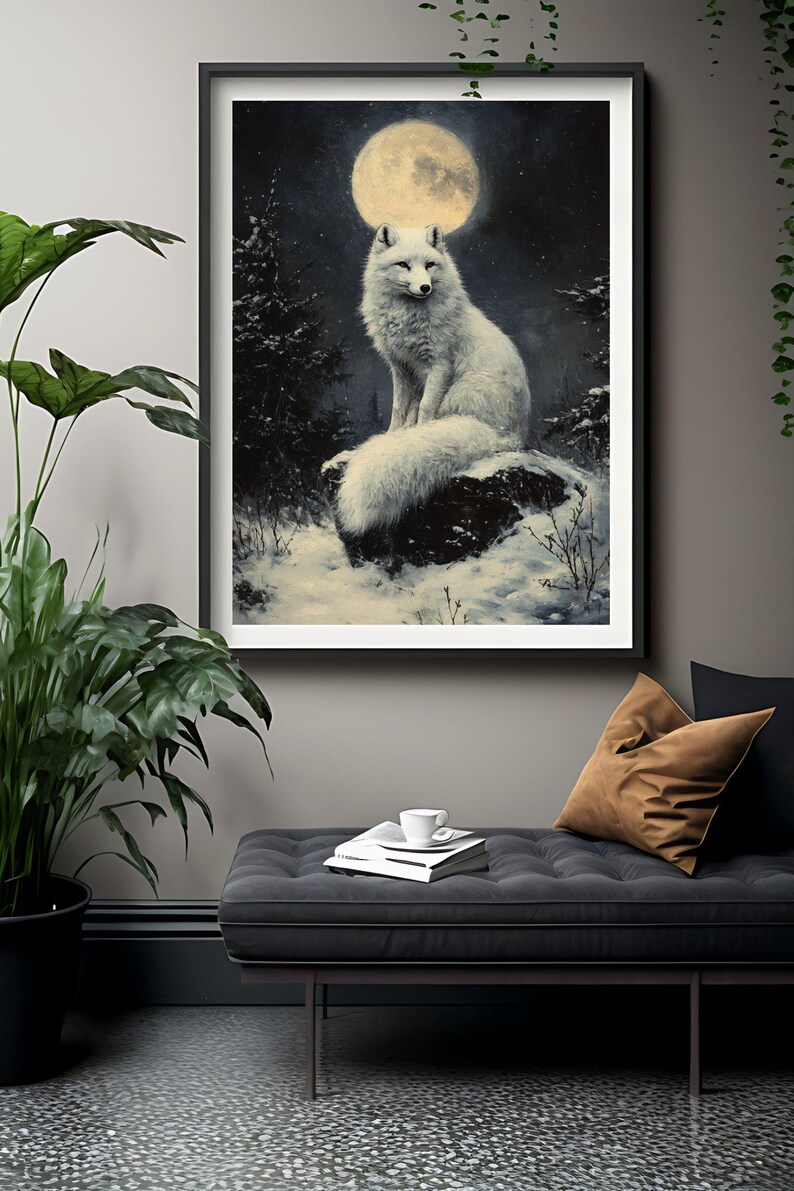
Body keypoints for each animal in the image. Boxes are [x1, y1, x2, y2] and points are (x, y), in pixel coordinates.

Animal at [333, 222, 532, 539]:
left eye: (429, 265)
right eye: (403, 264)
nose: (425, 287)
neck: (408, 318)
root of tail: (512, 436)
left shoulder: (438, 365)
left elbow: (425, 407)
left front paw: (417, 434)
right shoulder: (402, 368)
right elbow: (399, 409)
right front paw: (394, 435)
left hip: (459, 394)